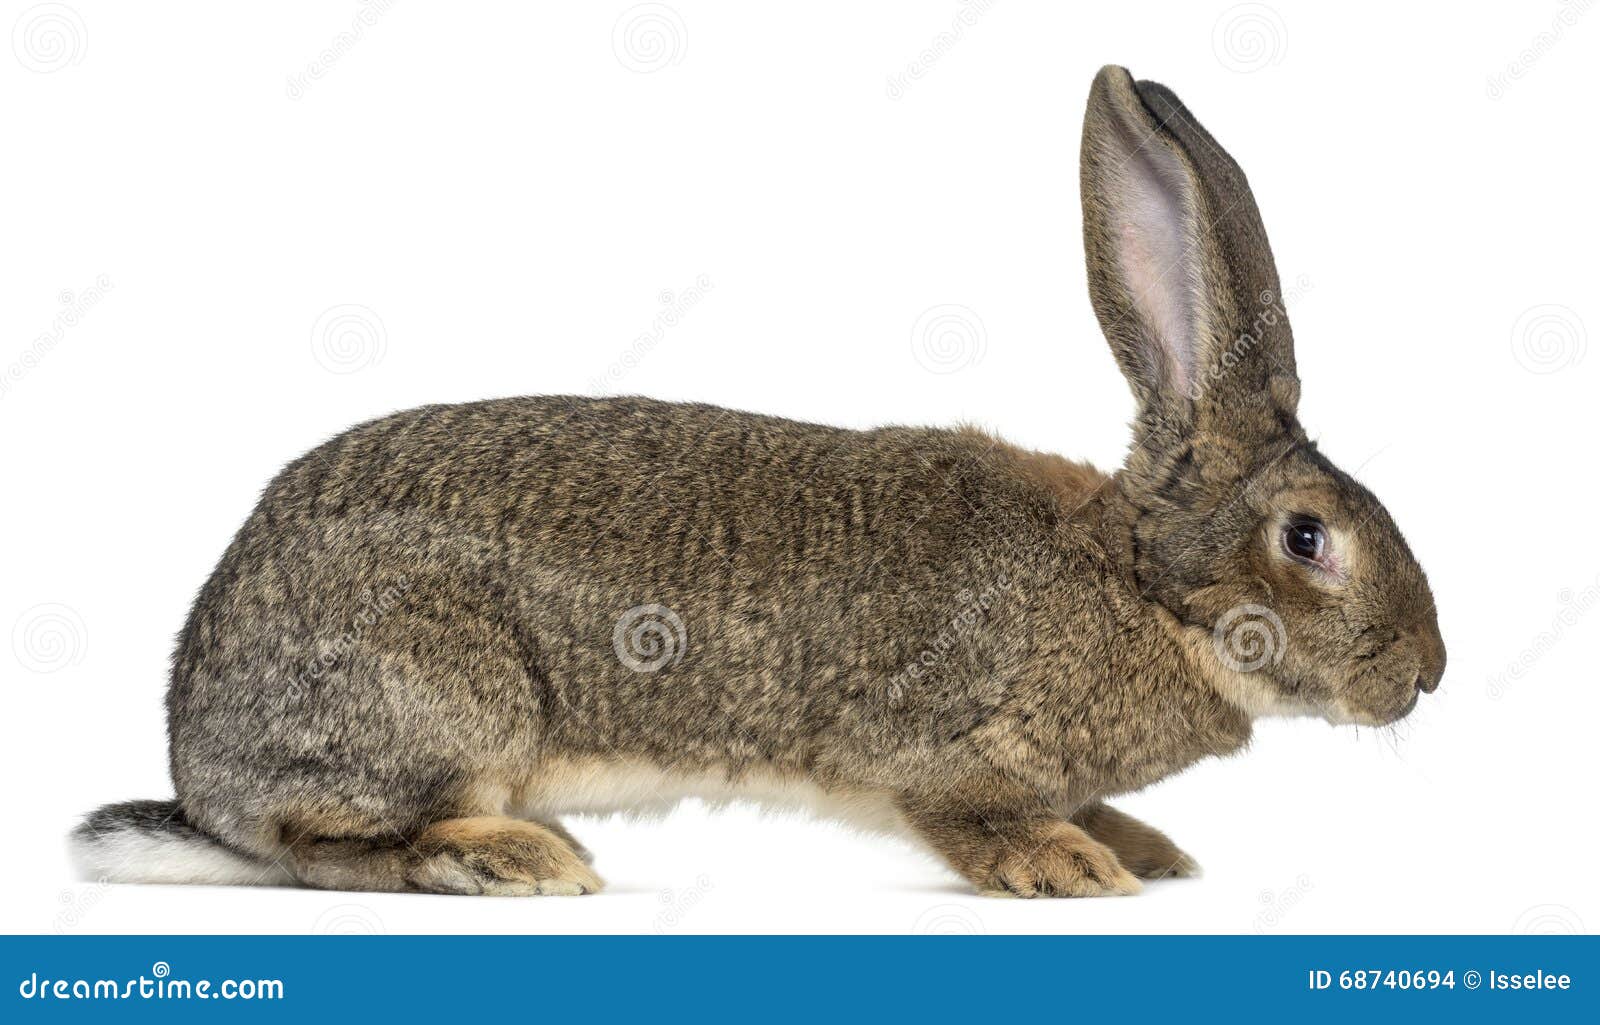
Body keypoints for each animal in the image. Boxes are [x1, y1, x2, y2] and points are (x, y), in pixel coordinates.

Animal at [70, 65, 1444, 898]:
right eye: (1307, 538)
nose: (1424, 674)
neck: (1142, 585)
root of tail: (203, 765)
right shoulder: (939, 747)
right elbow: (968, 816)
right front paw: (1069, 868)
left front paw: (1144, 853)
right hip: (436, 699)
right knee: (321, 844)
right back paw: (513, 858)